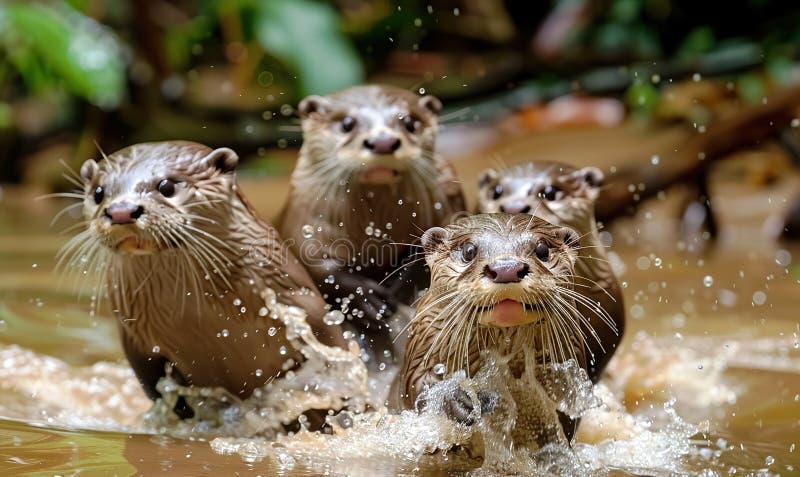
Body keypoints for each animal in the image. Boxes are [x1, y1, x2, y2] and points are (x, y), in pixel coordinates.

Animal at [279, 85, 465, 360]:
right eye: (347, 123)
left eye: (410, 123)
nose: (382, 142)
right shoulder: (303, 222)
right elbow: (313, 265)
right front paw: (365, 300)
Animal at [396, 214, 608, 441]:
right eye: (468, 251)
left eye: (542, 249)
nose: (507, 269)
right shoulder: (423, 348)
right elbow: (416, 385)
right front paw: (457, 398)